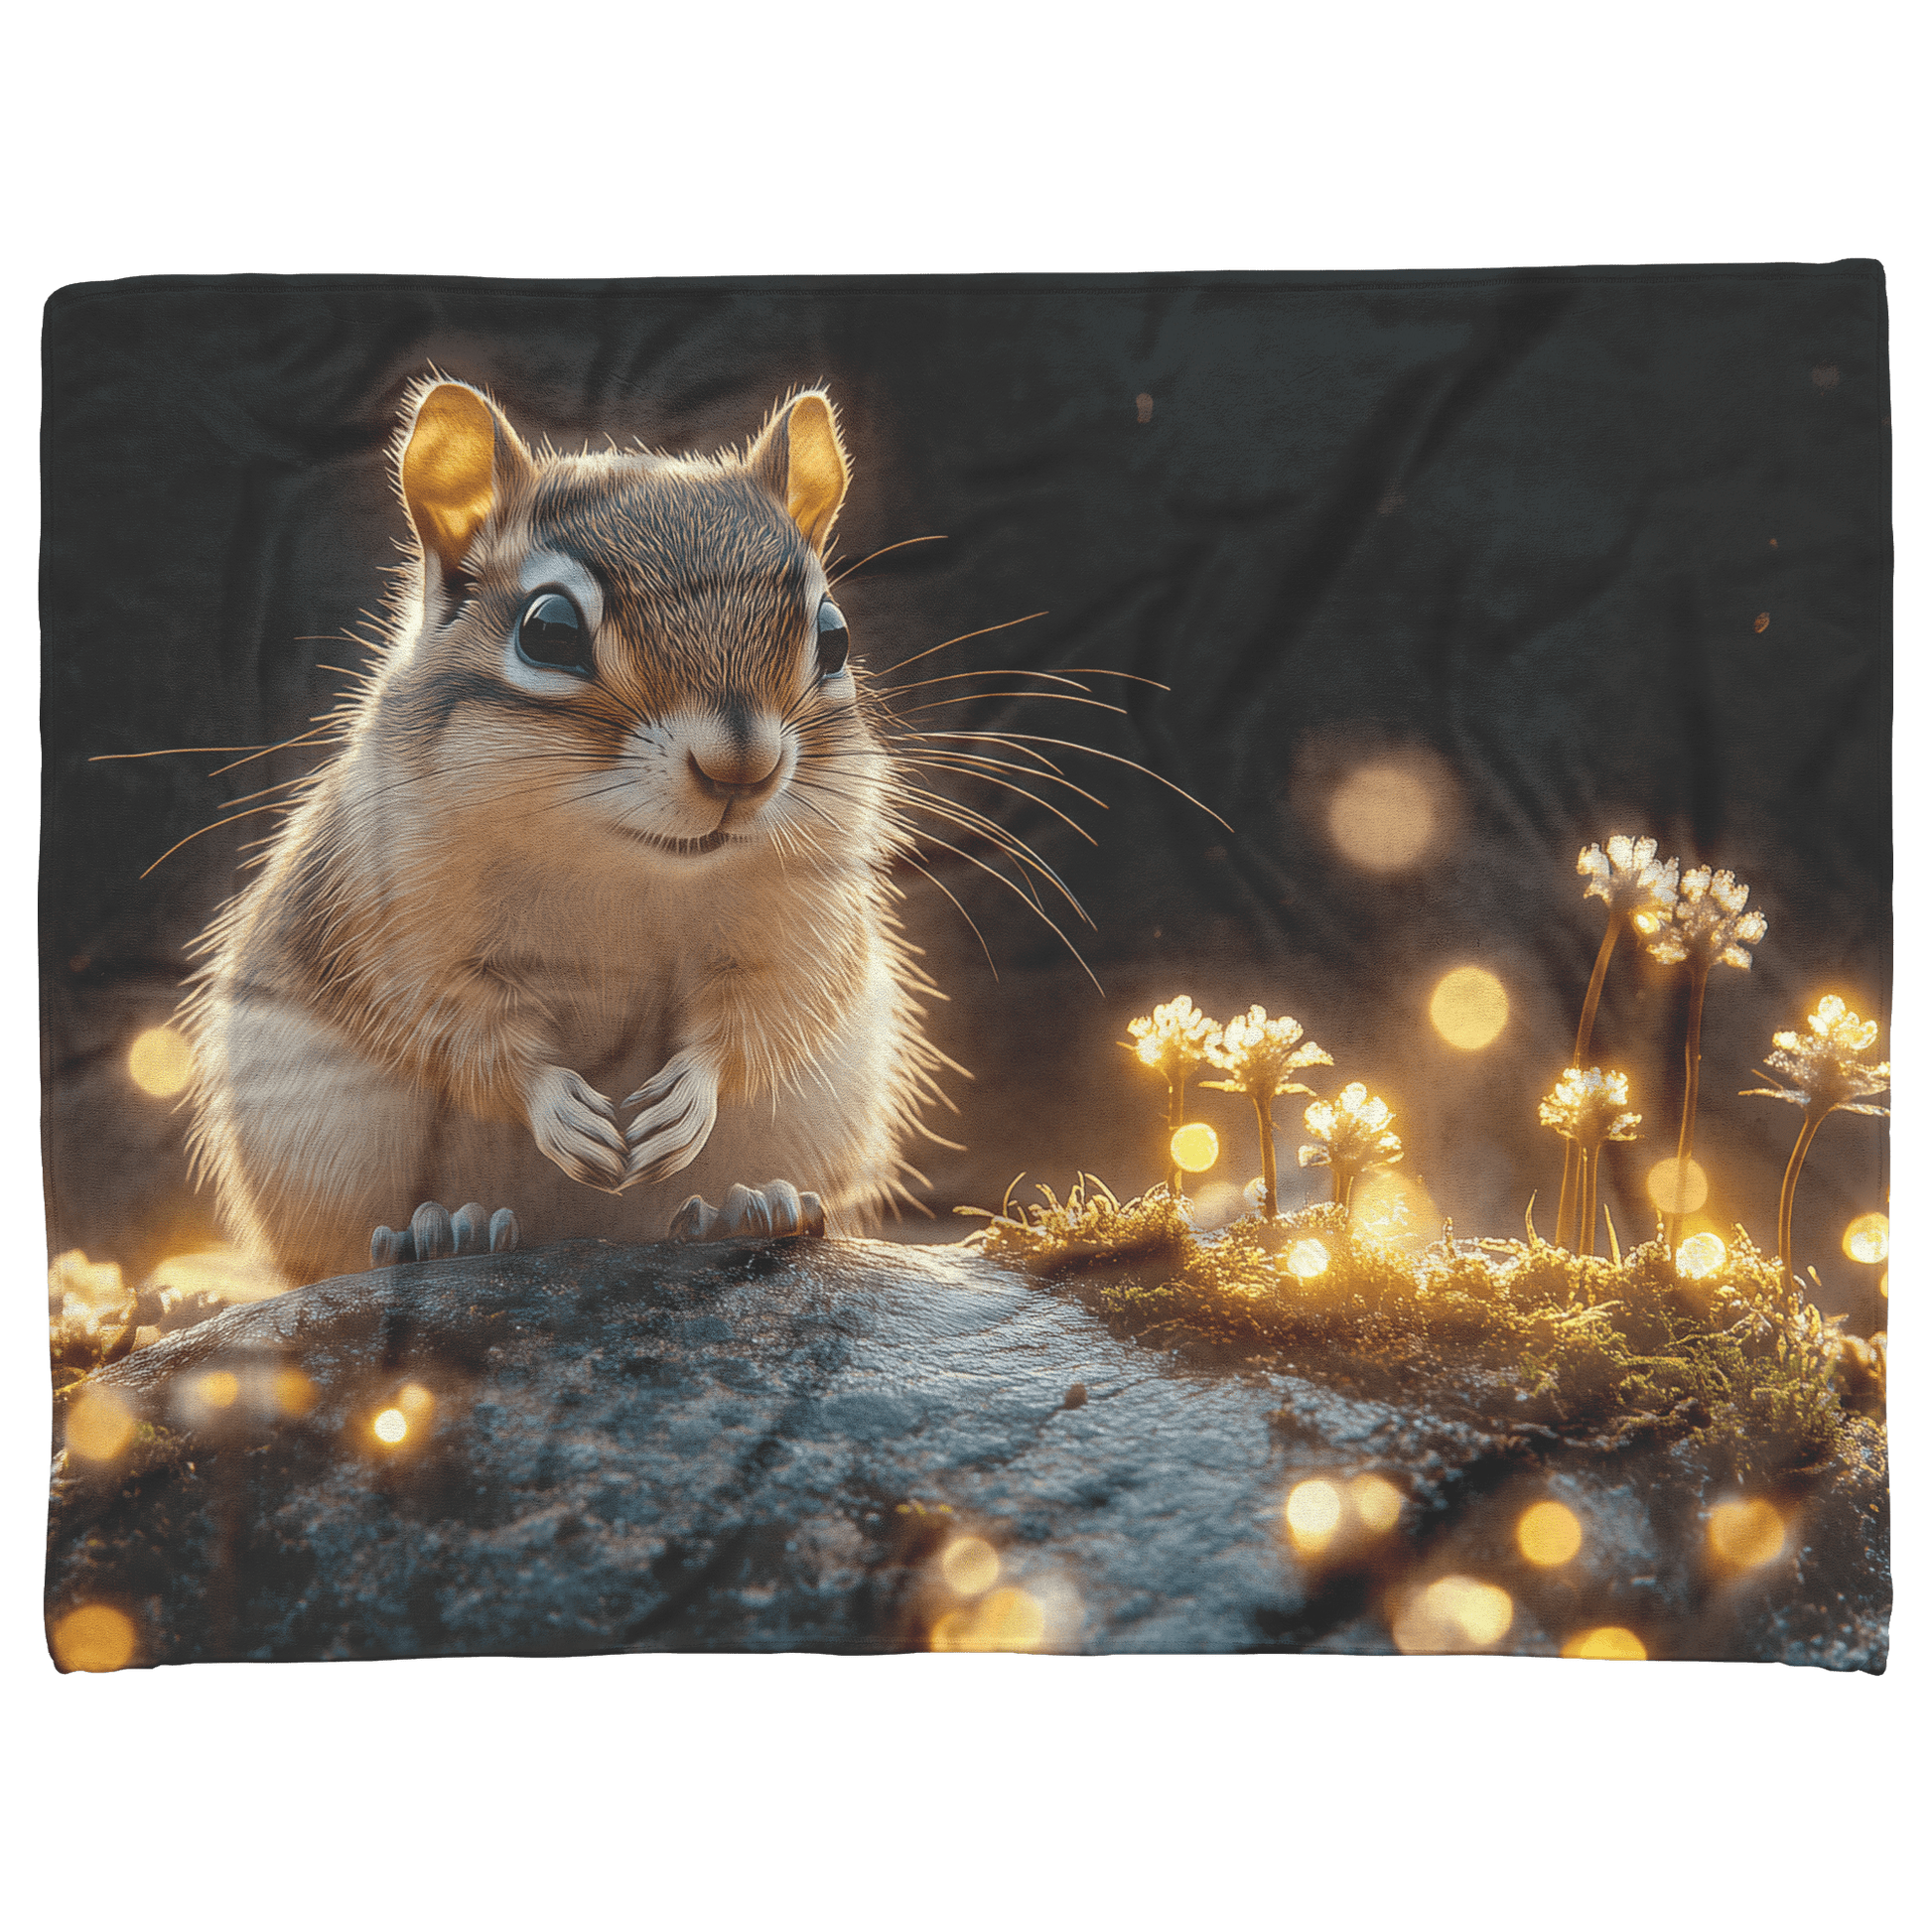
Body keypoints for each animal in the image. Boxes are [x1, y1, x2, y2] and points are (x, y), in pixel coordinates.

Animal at [181, 377, 956, 1286]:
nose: (743, 768)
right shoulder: (394, 923)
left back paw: (748, 1208)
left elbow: (765, 1014)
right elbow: (467, 1033)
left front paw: (691, 1098)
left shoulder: (804, 924)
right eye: (548, 631)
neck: (625, 860)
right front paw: (555, 1107)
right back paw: (446, 1232)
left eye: (833, 638)